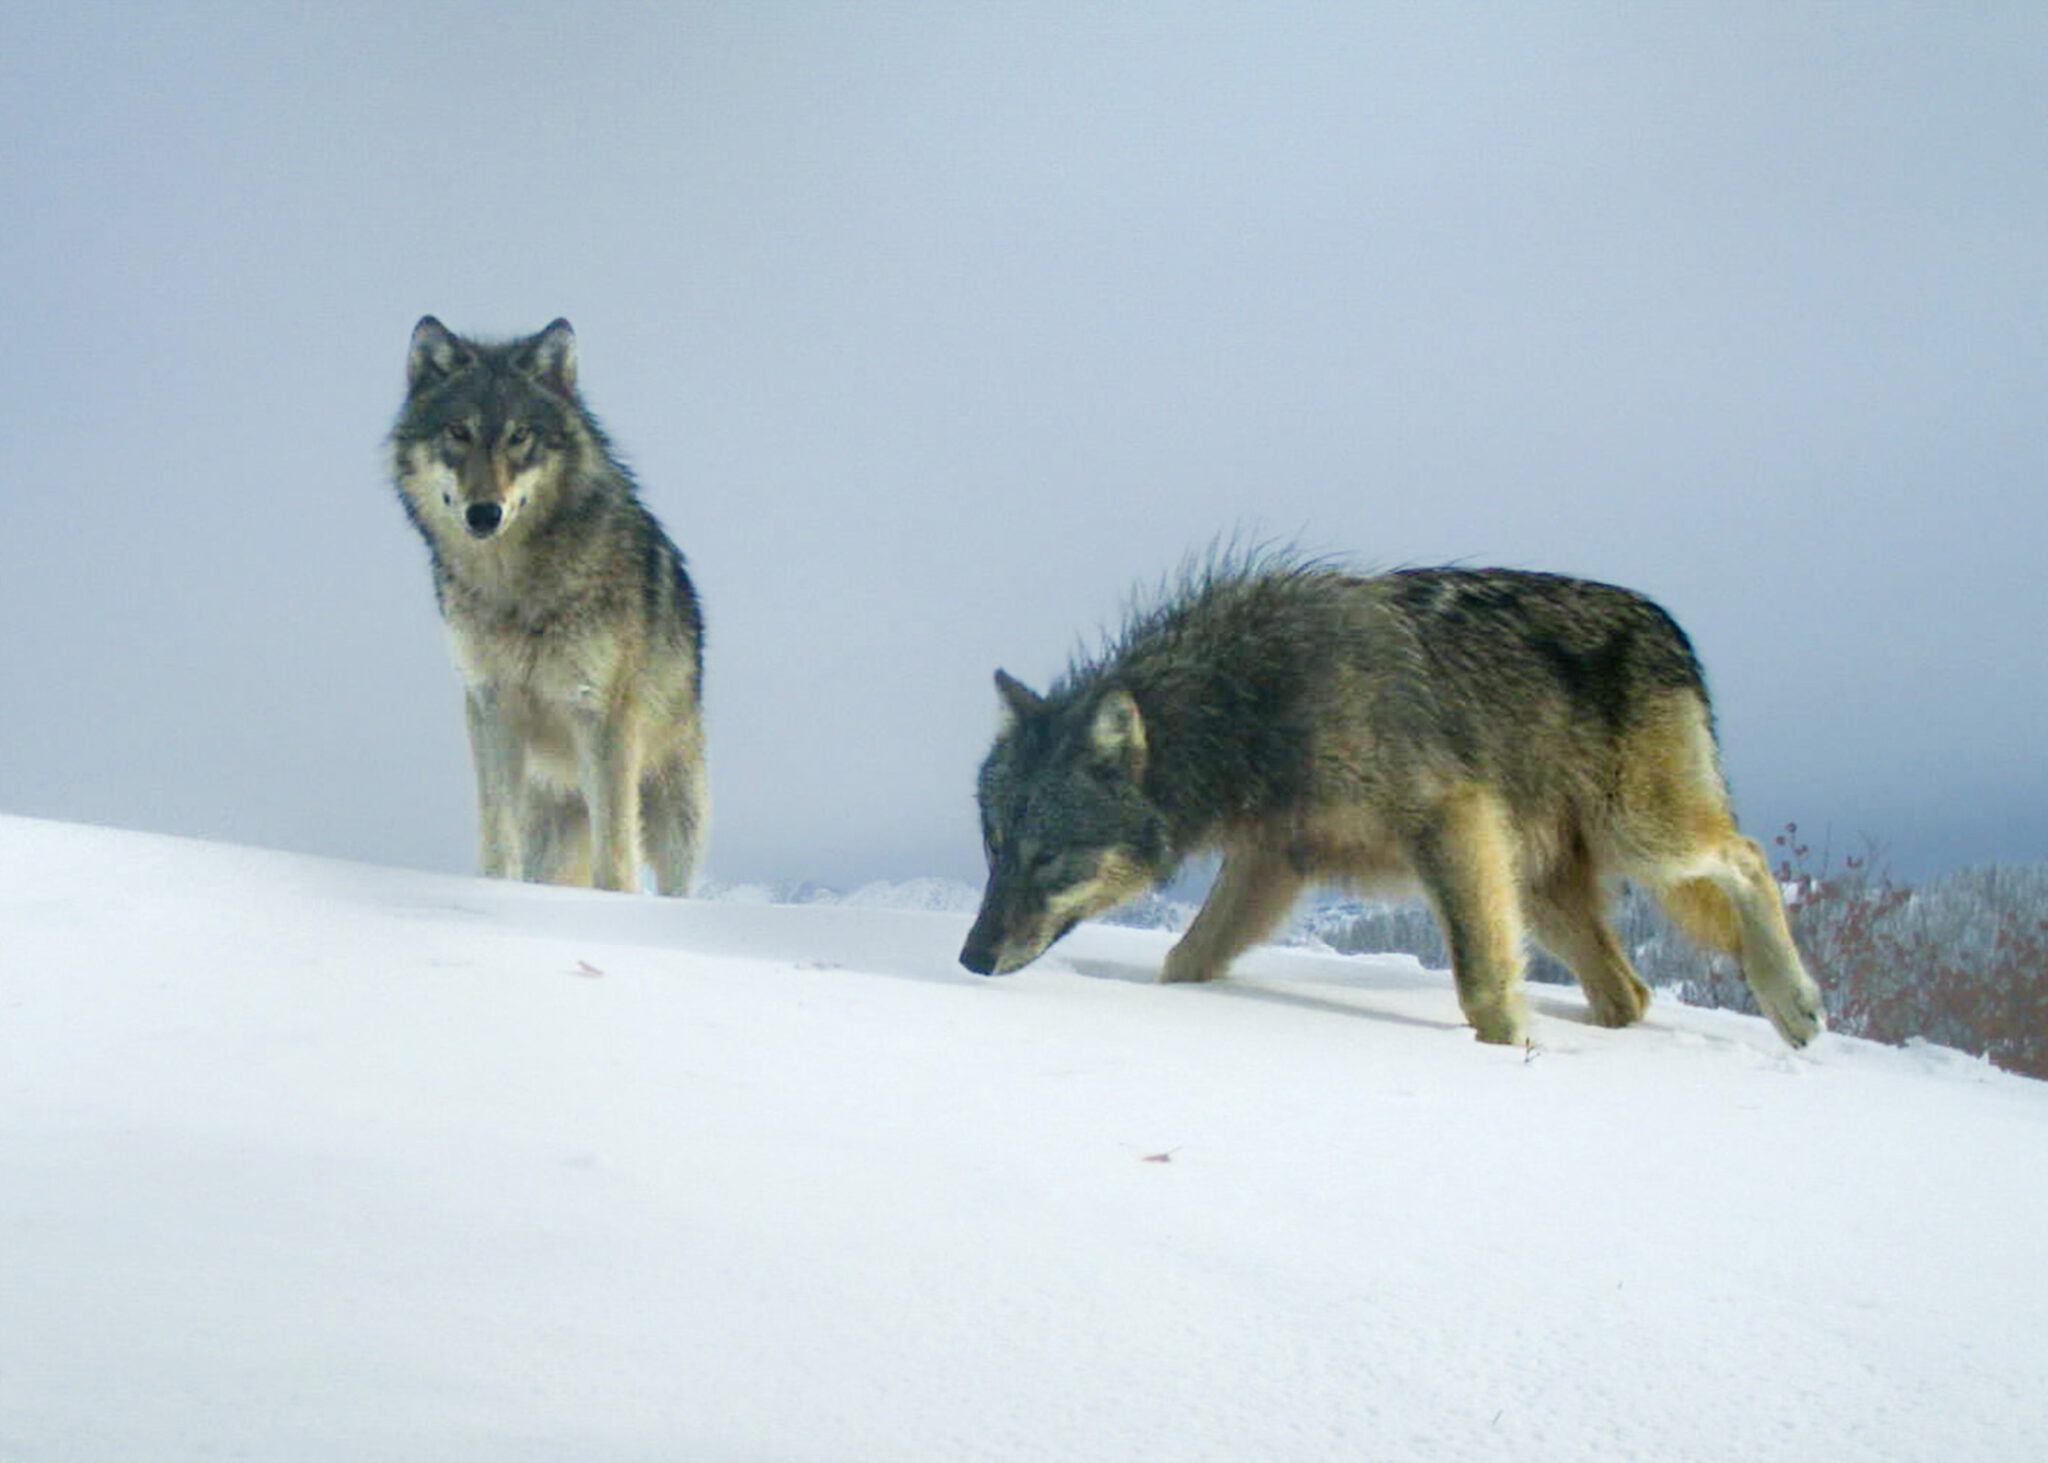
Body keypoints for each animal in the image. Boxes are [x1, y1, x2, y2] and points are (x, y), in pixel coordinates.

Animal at [388, 316, 707, 894]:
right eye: (459, 432)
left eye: (520, 435)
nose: (484, 513)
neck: (515, 588)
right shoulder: (489, 703)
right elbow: (496, 832)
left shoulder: (601, 712)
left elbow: (615, 856)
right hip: (551, 834)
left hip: (677, 813)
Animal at [960, 555, 1825, 1049]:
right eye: (996, 849)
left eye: (1049, 855)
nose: (970, 959)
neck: (1249, 706)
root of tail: (1667, 622)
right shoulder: (1273, 862)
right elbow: (1185, 959)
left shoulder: (1450, 821)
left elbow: (1481, 980)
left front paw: (1513, 1053)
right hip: (1538, 887)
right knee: (1631, 993)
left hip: (1642, 839)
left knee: (1748, 857)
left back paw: (1795, 1004)